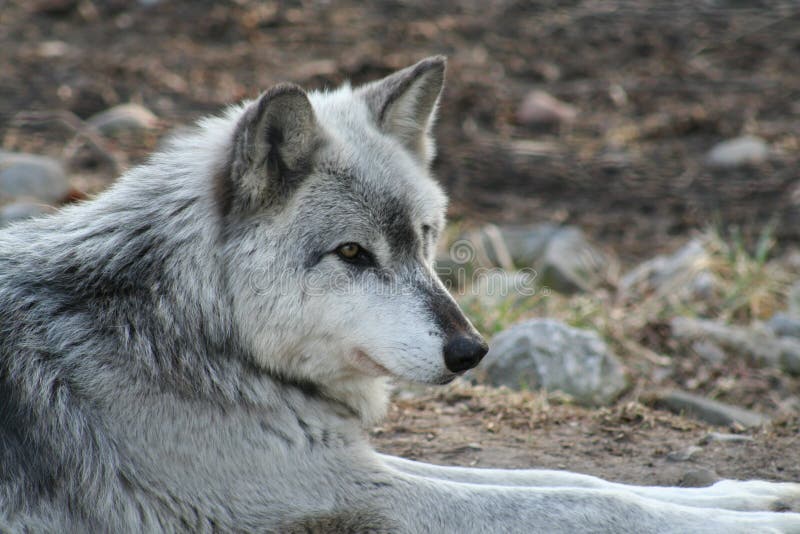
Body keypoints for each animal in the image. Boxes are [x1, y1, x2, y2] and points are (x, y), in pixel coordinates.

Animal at [0, 56, 798, 533]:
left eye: (425, 237)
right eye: (353, 254)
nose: (472, 351)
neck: (188, 329)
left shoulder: (352, 462)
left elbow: (571, 474)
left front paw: (755, 495)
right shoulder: (352, 494)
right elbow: (591, 501)